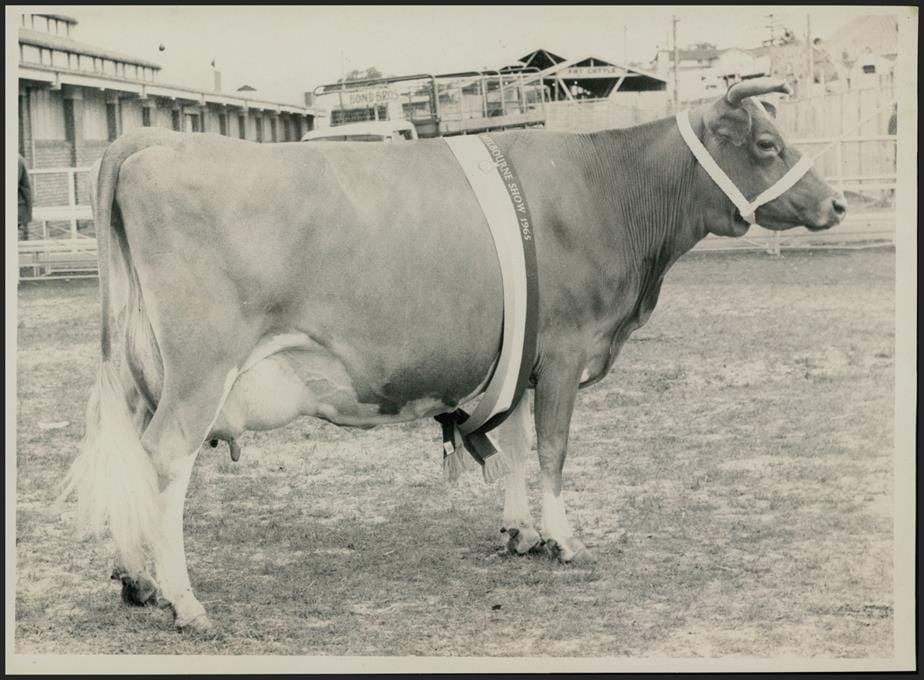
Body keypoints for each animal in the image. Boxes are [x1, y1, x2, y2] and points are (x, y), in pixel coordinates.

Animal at [60, 78, 846, 633]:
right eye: (767, 143)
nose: (837, 204)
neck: (602, 189)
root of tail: (154, 141)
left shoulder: (525, 357)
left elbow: (518, 443)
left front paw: (521, 532)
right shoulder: (566, 349)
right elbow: (554, 447)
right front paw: (564, 537)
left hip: (139, 369)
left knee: (128, 452)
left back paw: (135, 579)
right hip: (200, 369)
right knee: (163, 459)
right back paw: (184, 601)